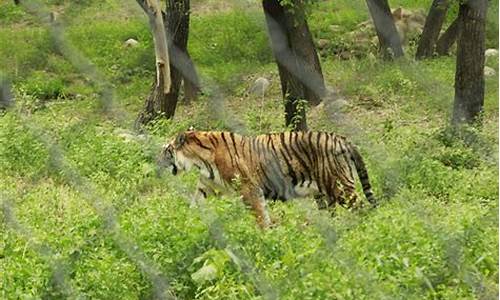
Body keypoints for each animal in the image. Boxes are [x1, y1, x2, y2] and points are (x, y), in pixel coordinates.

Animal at [158, 131, 376, 227]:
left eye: (165, 151)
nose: (155, 161)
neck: (199, 161)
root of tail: (341, 138)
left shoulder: (249, 188)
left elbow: (259, 213)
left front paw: (265, 235)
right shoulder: (206, 186)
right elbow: (195, 204)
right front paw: (185, 225)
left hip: (340, 187)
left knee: (362, 208)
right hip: (325, 193)